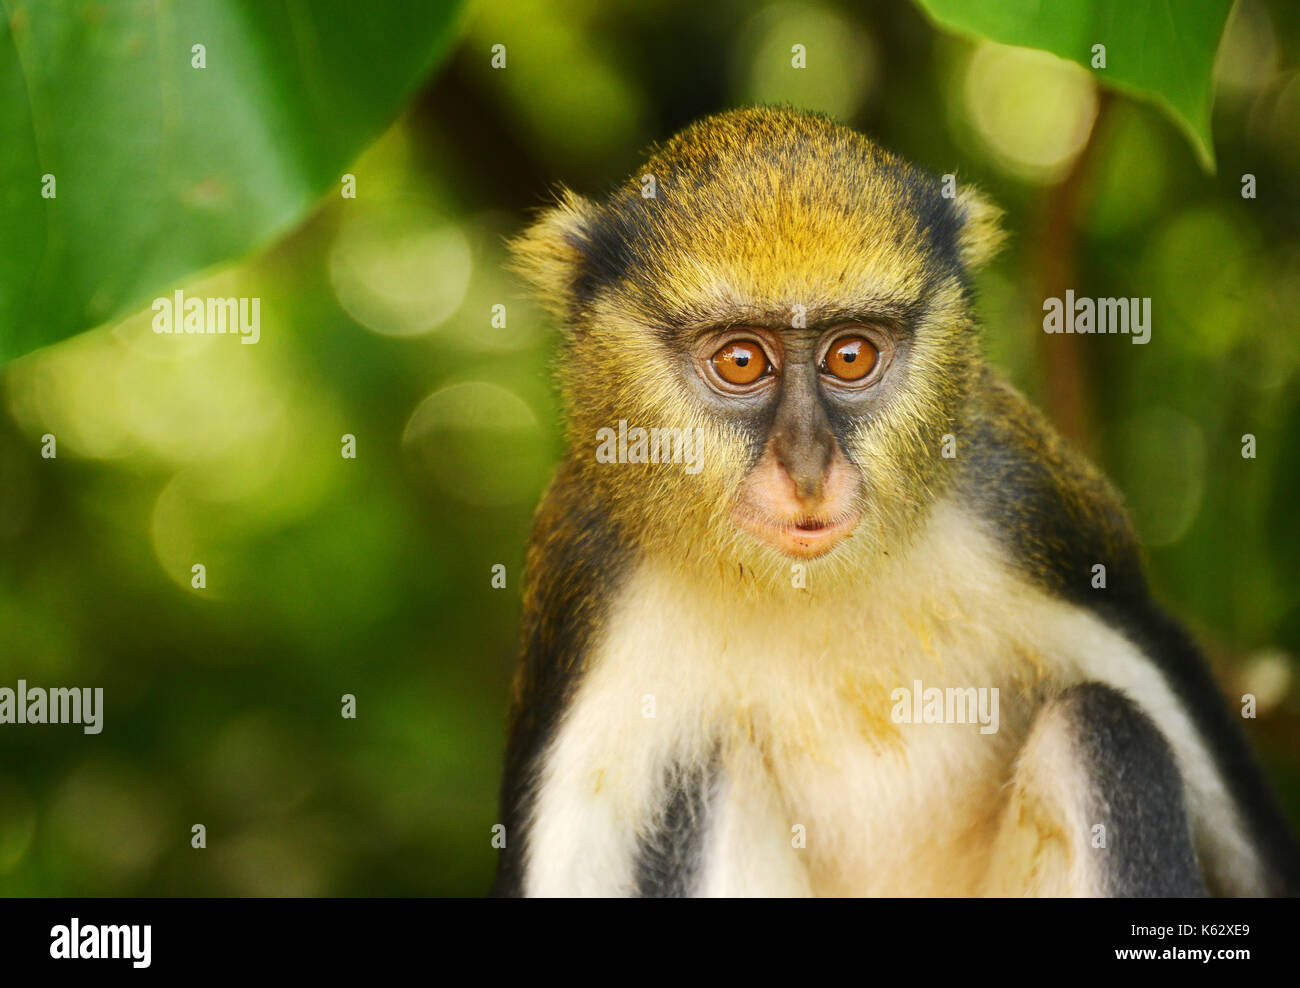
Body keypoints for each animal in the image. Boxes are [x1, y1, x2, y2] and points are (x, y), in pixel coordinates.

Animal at [489, 106, 1300, 897]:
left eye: (851, 356)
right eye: (741, 360)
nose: (808, 469)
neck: (808, 587)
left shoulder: (1024, 499)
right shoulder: (586, 574)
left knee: (1102, 729)